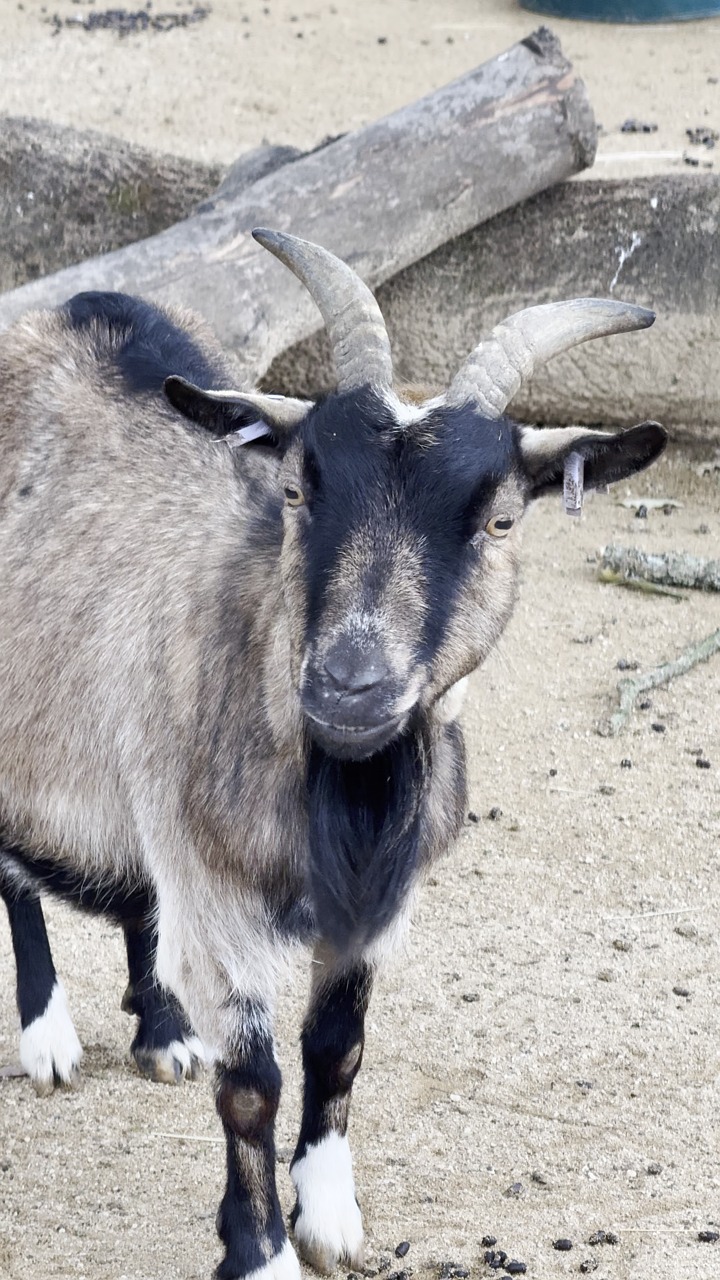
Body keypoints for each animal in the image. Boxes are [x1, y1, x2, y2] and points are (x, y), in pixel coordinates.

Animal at [0, 229, 666, 1280]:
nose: (350, 686)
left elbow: (338, 1047)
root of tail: (68, 312)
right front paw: (261, 1248)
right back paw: (50, 1040)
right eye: (297, 488)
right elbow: (253, 1082)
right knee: (18, 875)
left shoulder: (374, 904)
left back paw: (163, 1031)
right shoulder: (220, 899)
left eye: (501, 518)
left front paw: (327, 1215)